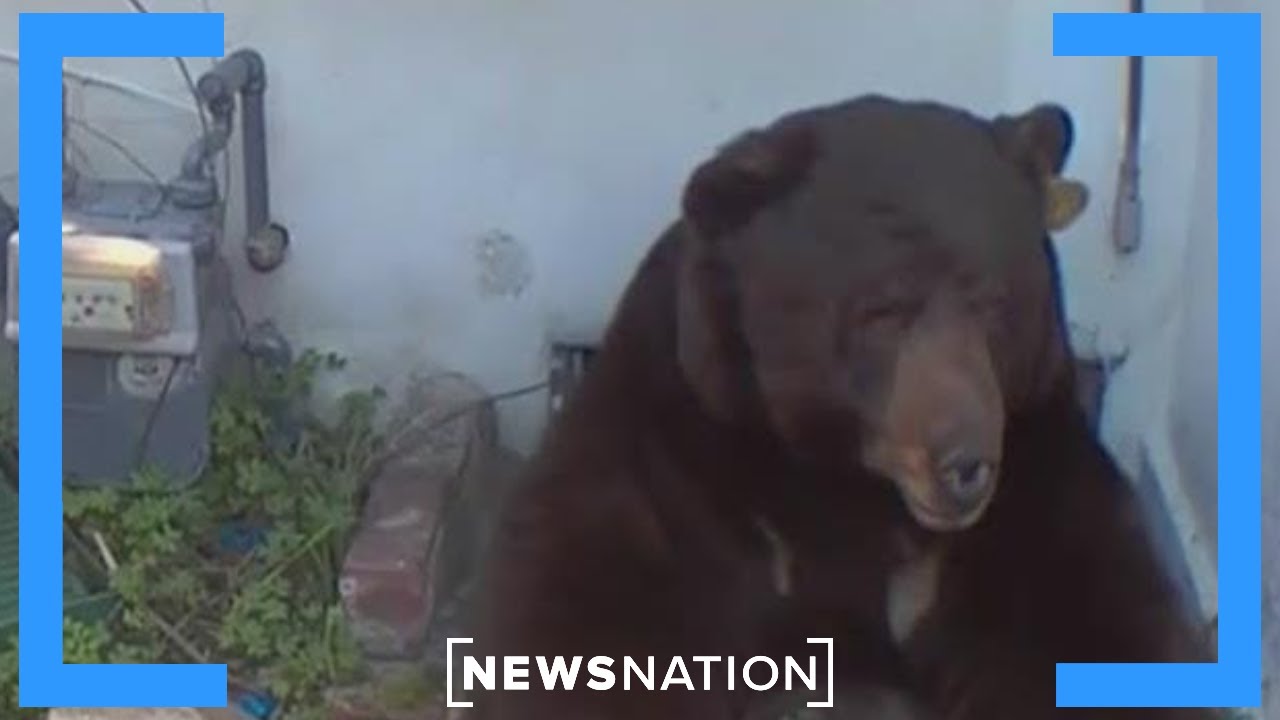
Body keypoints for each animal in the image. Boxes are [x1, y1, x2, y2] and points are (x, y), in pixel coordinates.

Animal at [465, 95, 1217, 720]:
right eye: (882, 310)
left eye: (994, 299)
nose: (964, 464)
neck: (841, 480)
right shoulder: (675, 460)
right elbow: (595, 623)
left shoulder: (1033, 478)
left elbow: (1099, 632)